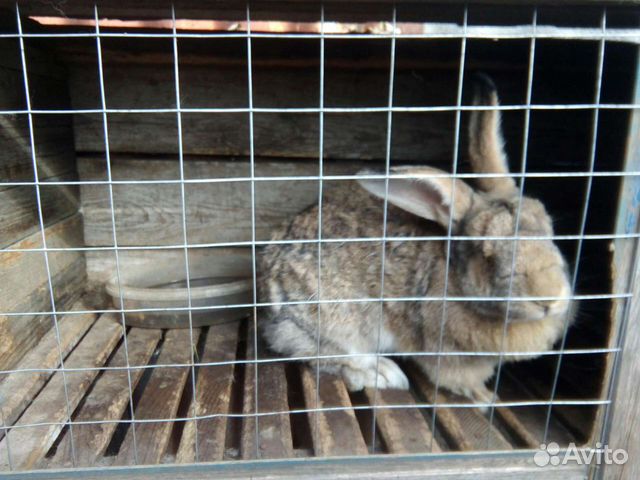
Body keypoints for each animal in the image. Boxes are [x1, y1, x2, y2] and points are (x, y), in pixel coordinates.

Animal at [257, 74, 573, 402]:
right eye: (486, 255)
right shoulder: (447, 351)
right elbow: (455, 377)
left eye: (551, 232)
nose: (549, 298)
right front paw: (485, 398)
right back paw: (381, 373)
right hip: (334, 317)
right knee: (316, 350)